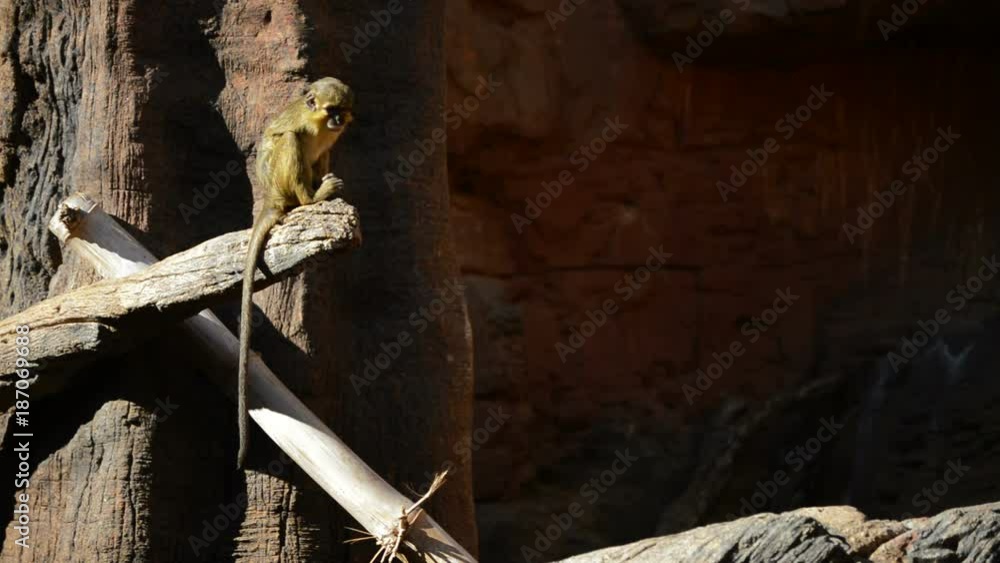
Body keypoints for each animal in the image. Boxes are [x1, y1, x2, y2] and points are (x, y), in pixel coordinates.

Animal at [237, 77, 355, 468]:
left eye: (342, 111)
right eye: (330, 110)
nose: (338, 121)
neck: (318, 124)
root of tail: (272, 197)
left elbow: (323, 155)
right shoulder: (301, 126)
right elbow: (284, 135)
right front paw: (316, 196)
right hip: (281, 180)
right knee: (289, 143)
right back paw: (310, 199)